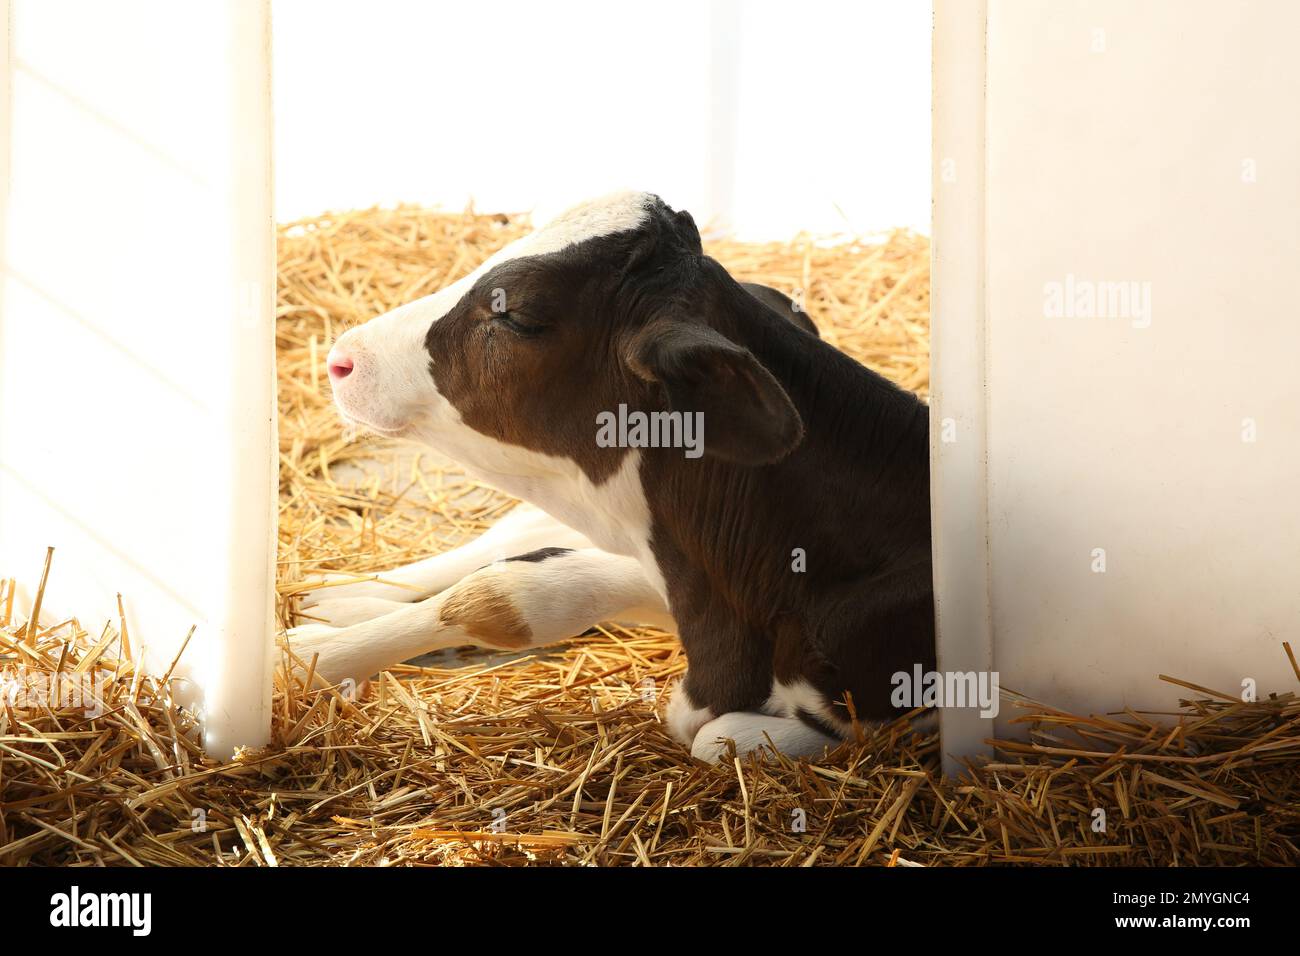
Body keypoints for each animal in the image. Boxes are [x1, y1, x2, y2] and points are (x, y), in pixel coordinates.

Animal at [286, 191, 935, 762]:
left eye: (516, 314)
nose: (341, 359)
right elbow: (508, 590)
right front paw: (307, 657)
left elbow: (719, 739)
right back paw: (332, 598)